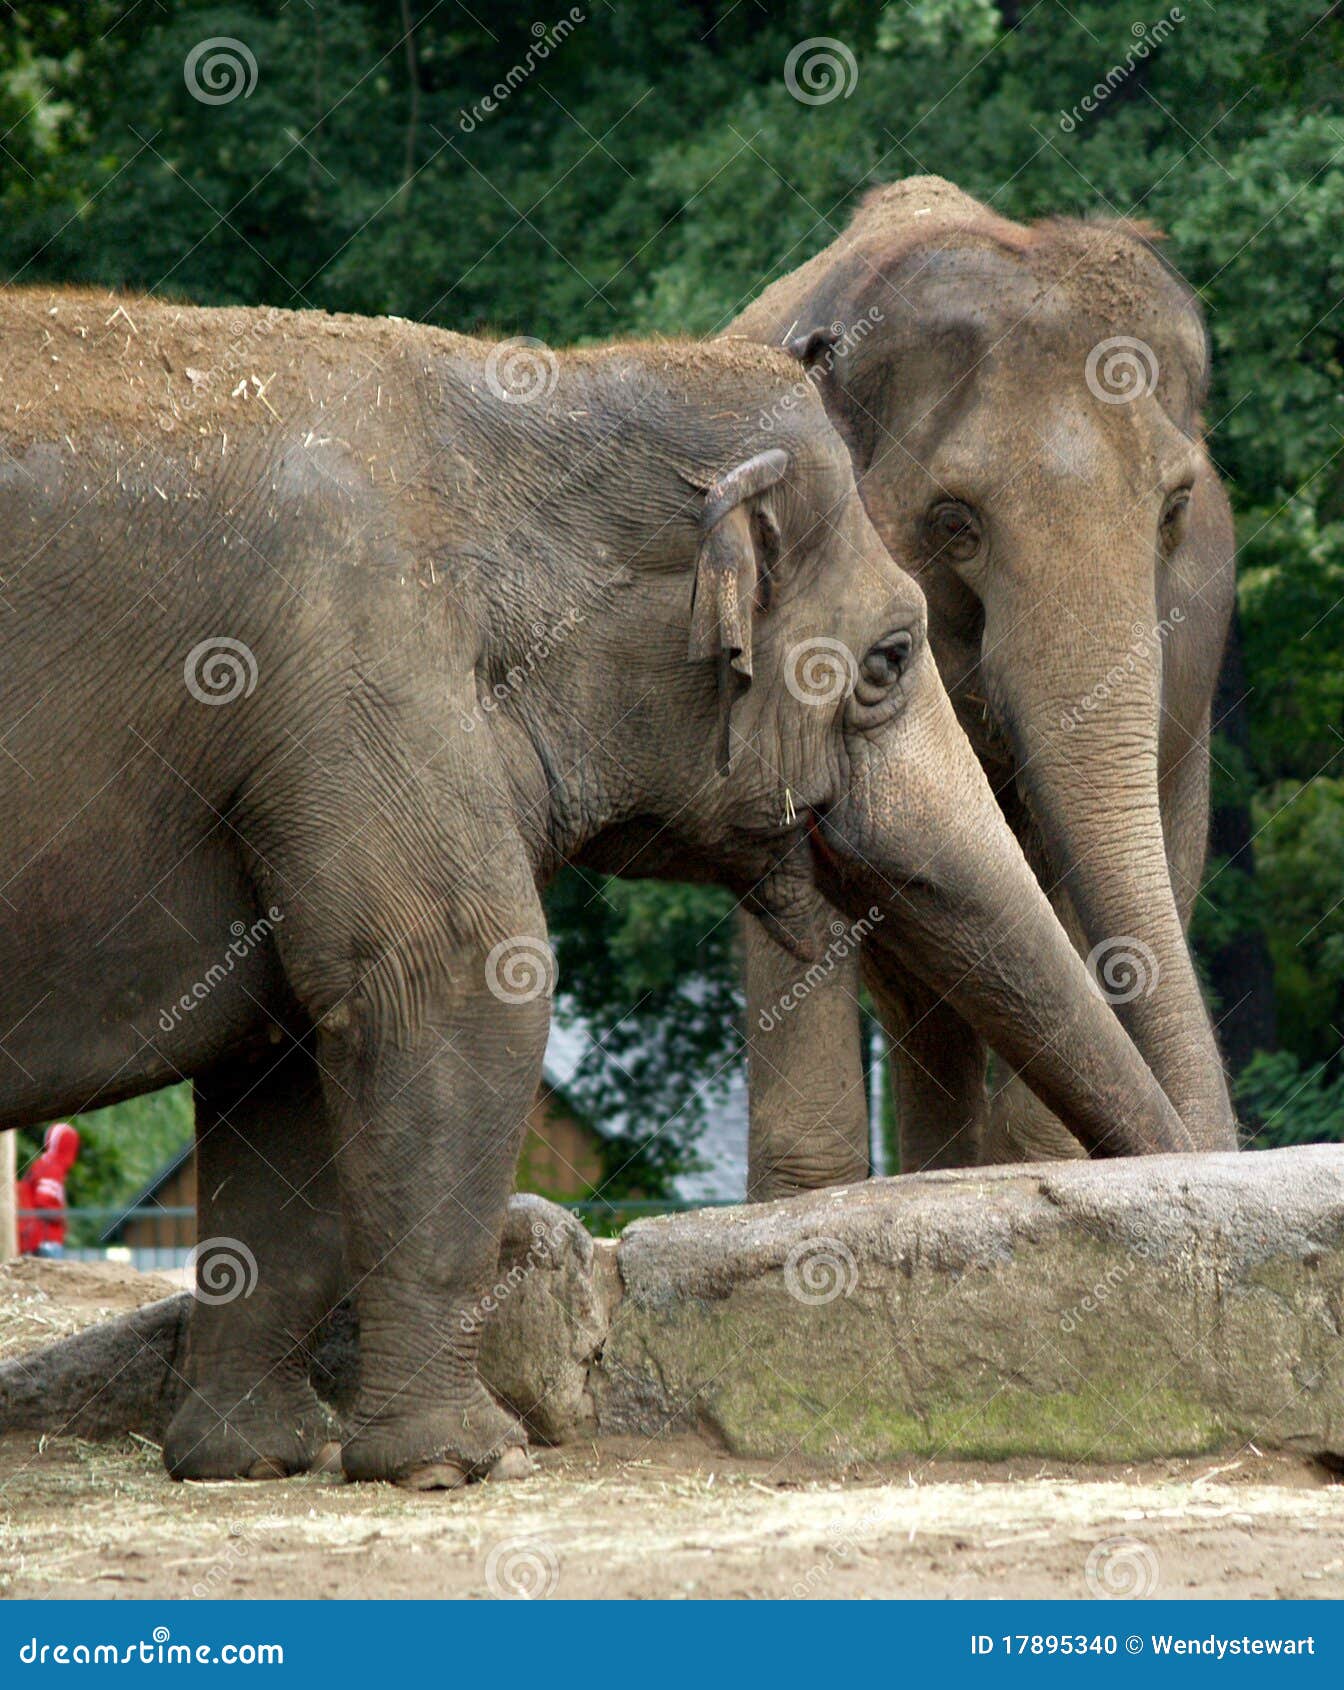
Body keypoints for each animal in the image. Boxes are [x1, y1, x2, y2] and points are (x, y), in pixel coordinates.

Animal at [0, 287, 1190, 1486]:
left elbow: (287, 1054)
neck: (542, 401)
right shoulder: (363, 672)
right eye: (894, 657)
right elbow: (458, 978)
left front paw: (251, 1459)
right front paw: (464, 1462)